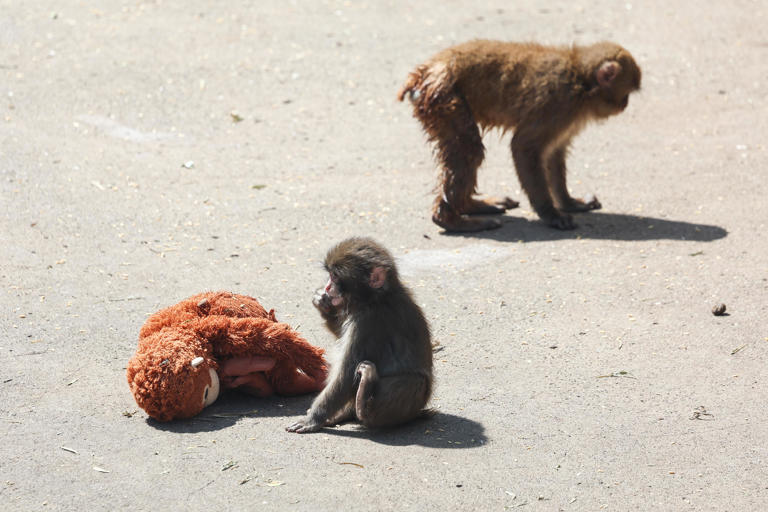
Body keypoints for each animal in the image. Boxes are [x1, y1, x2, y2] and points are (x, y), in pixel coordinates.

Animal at [286, 237, 433, 433]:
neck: (374, 299)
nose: (328, 287)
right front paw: (324, 306)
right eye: (330, 275)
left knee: (412, 382)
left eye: (335, 277)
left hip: (414, 401)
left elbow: (347, 374)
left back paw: (364, 404)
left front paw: (313, 419)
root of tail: (417, 412)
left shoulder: (368, 323)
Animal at [398, 40, 642, 232]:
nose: (625, 105)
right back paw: (451, 220)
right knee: (469, 149)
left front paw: (569, 202)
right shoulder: (558, 103)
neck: (580, 79)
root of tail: (424, 71)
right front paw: (550, 213)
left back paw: (469, 206)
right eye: (626, 94)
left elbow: (554, 152)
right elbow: (523, 146)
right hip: (444, 98)